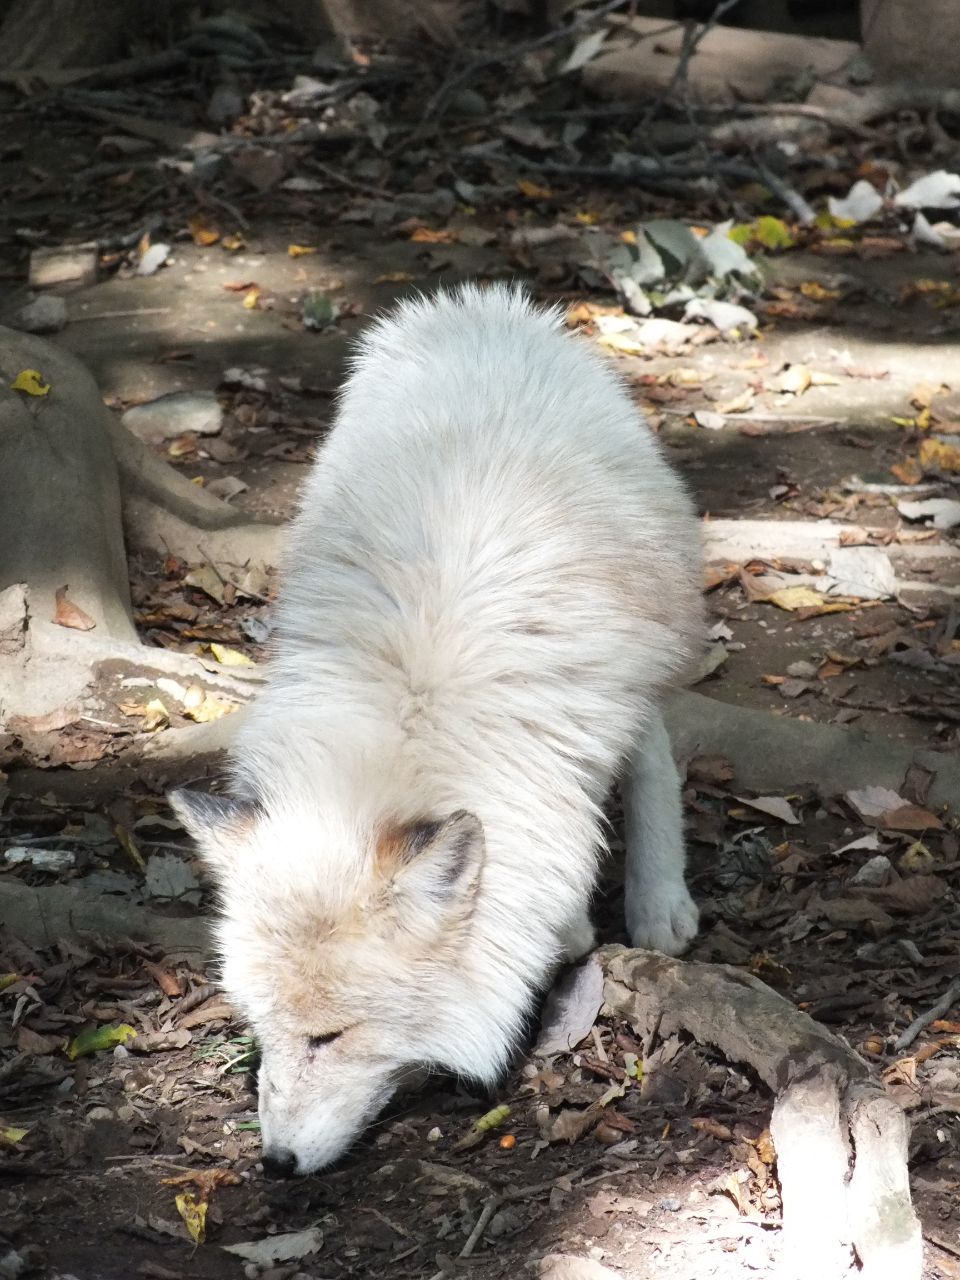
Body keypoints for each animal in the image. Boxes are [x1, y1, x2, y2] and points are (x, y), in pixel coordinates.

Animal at [171, 284, 703, 1177]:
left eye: (329, 1037)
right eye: (263, 1030)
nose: (275, 1162)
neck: (416, 708)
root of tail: (478, 303)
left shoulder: (585, 721)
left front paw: (587, 925)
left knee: (657, 749)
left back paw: (661, 900)